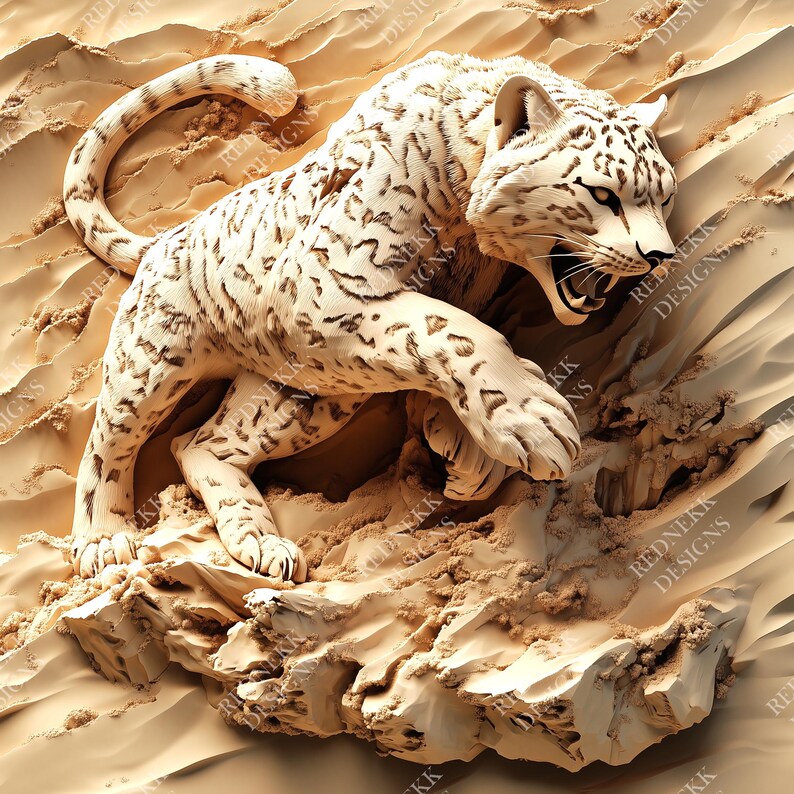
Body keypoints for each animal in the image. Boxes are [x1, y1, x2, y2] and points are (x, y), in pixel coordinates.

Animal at [63, 52, 677, 582]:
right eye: (603, 192)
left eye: (664, 197)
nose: (658, 255)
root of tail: (168, 234)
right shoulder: (325, 284)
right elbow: (449, 330)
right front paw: (534, 422)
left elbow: (441, 337)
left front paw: (465, 455)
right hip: (150, 365)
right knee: (107, 447)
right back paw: (105, 543)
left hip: (303, 394)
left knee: (201, 442)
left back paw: (262, 542)